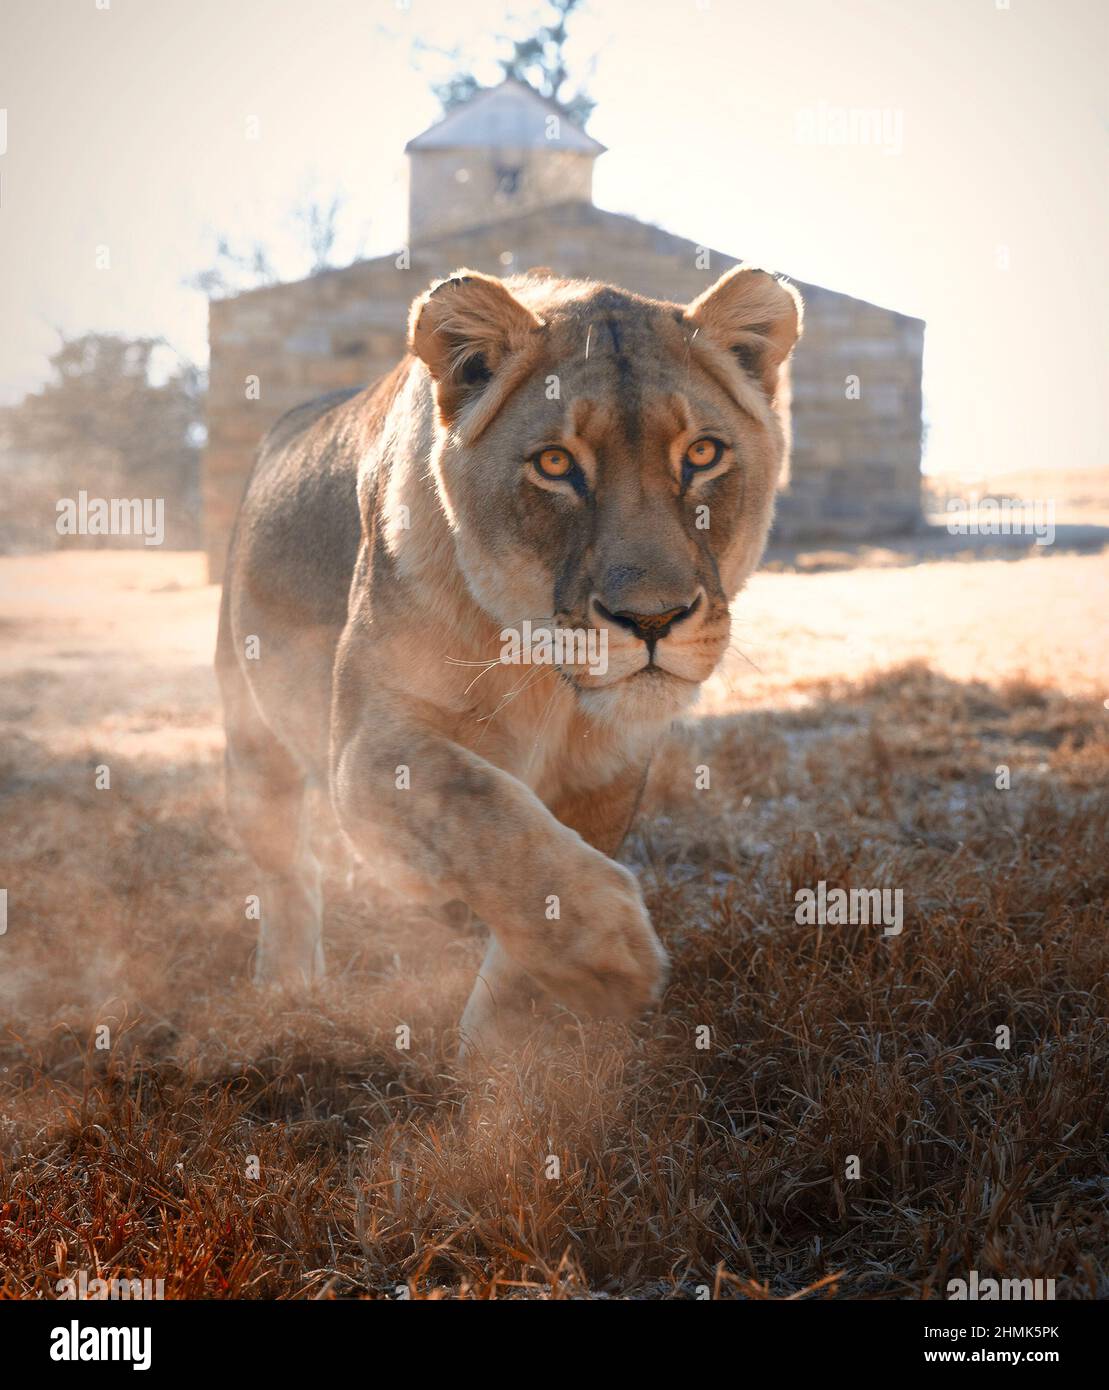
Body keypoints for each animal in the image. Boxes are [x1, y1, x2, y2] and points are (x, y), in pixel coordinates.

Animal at [215, 264, 802, 1053]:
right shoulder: (369, 746)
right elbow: (485, 817)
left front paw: (505, 1046)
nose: (652, 619)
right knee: (286, 864)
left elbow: (533, 890)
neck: (541, 675)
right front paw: (612, 956)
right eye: (555, 464)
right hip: (251, 733)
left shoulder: (608, 771)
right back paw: (288, 981)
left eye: (703, 454)